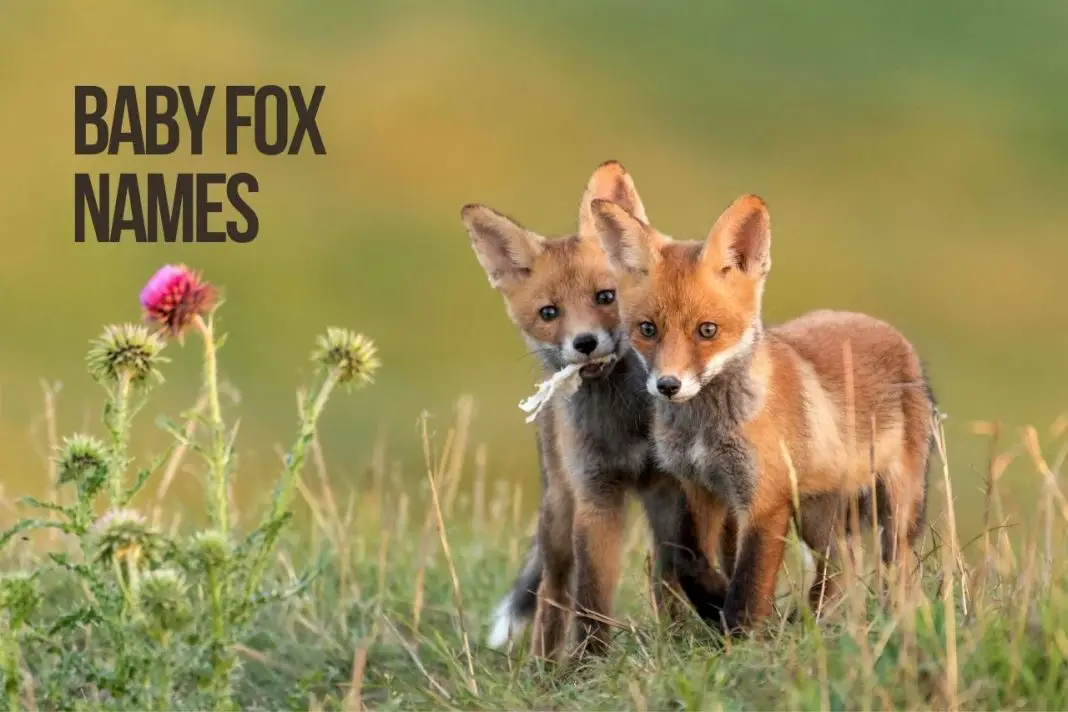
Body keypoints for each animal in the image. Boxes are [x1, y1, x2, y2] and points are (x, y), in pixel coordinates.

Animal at [460, 162, 733, 661]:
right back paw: (545, 667)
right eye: (549, 312)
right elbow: (591, 598)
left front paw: (692, 629)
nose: (584, 342)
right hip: (558, 512)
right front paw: (591, 663)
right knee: (553, 594)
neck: (625, 424)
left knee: (662, 580)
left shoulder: (673, 487)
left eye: (607, 297)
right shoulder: (596, 494)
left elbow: (678, 568)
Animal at [589, 193, 936, 631]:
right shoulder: (700, 487)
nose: (668, 385)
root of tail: (893, 334)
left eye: (707, 330)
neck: (706, 431)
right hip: (815, 513)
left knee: (896, 572)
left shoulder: (764, 500)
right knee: (843, 566)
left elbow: (749, 586)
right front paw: (712, 602)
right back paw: (812, 624)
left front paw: (740, 633)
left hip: (897, 508)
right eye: (647, 329)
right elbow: (689, 561)